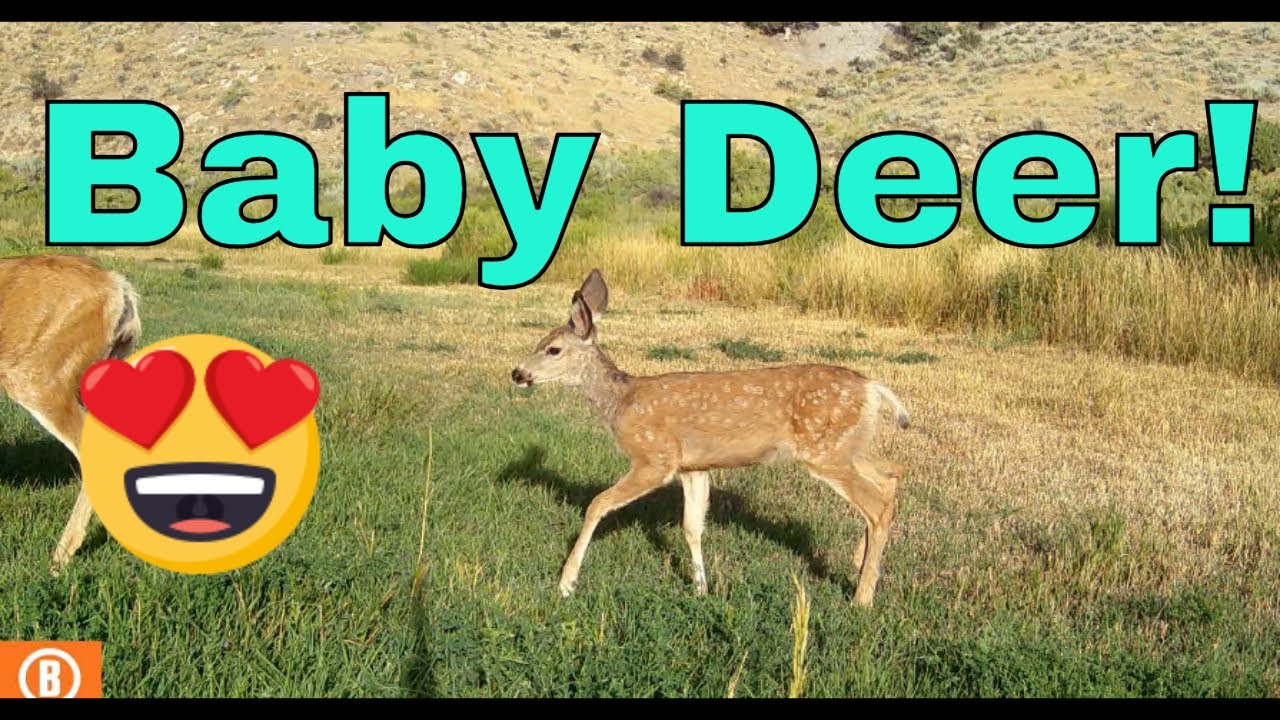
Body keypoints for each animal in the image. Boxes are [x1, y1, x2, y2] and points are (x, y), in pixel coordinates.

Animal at [511, 270, 910, 607]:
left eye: (553, 349)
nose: (517, 373)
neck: (620, 402)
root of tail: (872, 387)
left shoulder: (655, 457)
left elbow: (597, 503)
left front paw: (566, 582)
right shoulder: (694, 467)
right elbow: (692, 527)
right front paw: (702, 588)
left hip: (826, 450)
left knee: (876, 506)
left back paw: (862, 597)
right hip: (848, 446)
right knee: (891, 473)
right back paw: (860, 562)